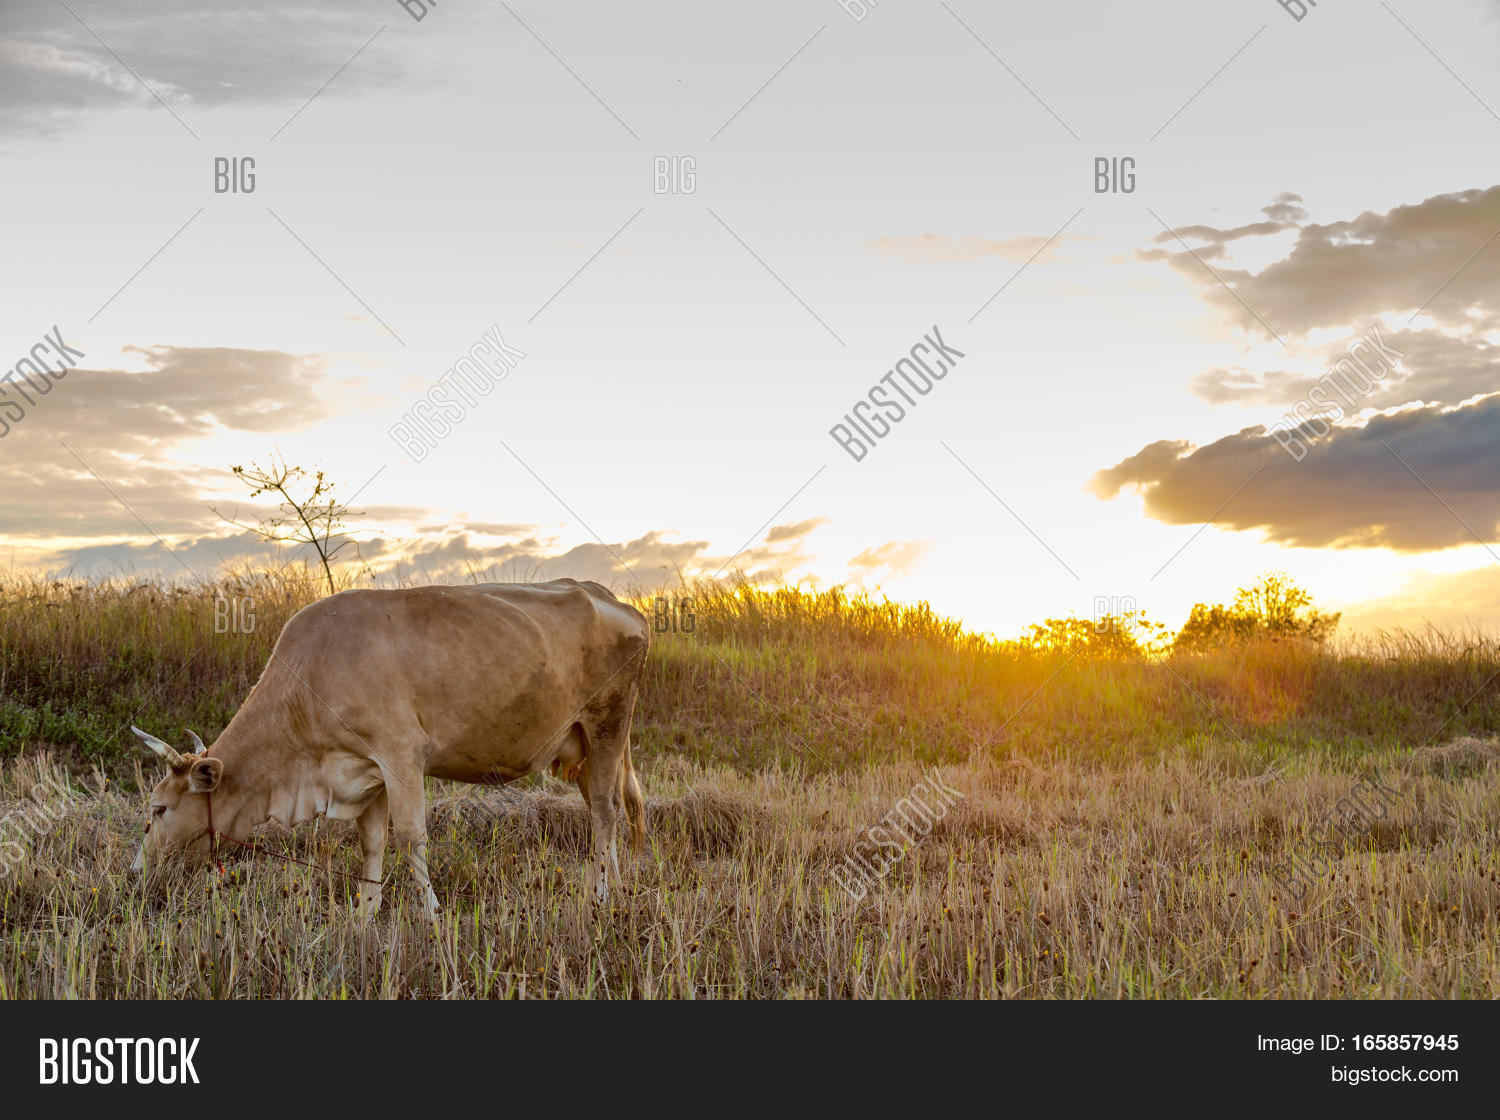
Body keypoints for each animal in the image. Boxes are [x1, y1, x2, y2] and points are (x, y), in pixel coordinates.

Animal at [128, 579, 649, 917]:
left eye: (158, 809)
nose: (136, 871)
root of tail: (604, 595)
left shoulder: (401, 753)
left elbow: (411, 836)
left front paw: (431, 916)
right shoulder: (365, 769)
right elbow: (372, 841)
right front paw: (365, 915)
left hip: (607, 724)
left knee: (605, 813)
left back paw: (599, 896)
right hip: (585, 745)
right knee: (608, 807)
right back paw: (618, 886)